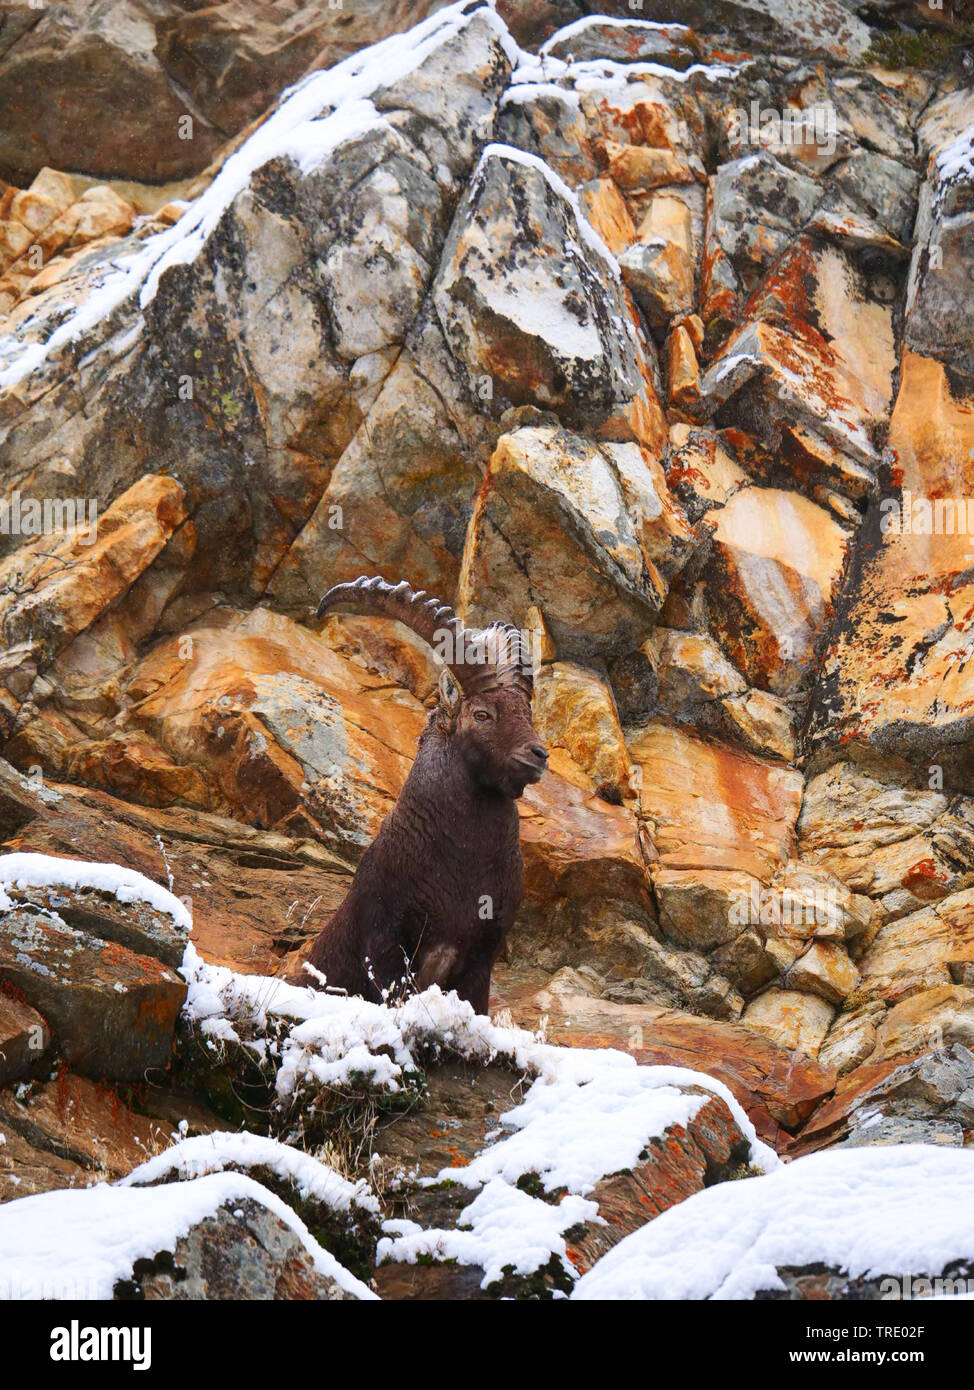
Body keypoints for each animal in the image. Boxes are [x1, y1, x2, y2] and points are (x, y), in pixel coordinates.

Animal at [301, 576, 548, 1015]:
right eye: (482, 714)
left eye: (527, 714)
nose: (538, 755)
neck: (462, 861)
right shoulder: (384, 943)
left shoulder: (482, 957)